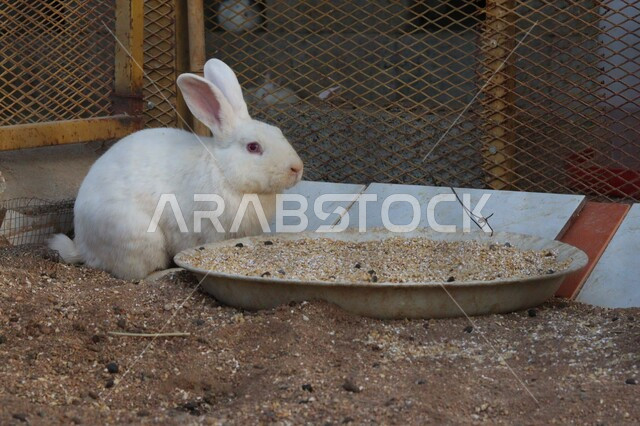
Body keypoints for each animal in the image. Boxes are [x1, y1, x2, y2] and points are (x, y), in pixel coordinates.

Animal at [49, 58, 304, 280]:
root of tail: (82, 246)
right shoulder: (206, 229)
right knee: (138, 275)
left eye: (278, 131)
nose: (297, 168)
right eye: (253, 147)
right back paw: (168, 272)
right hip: (140, 238)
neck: (223, 171)